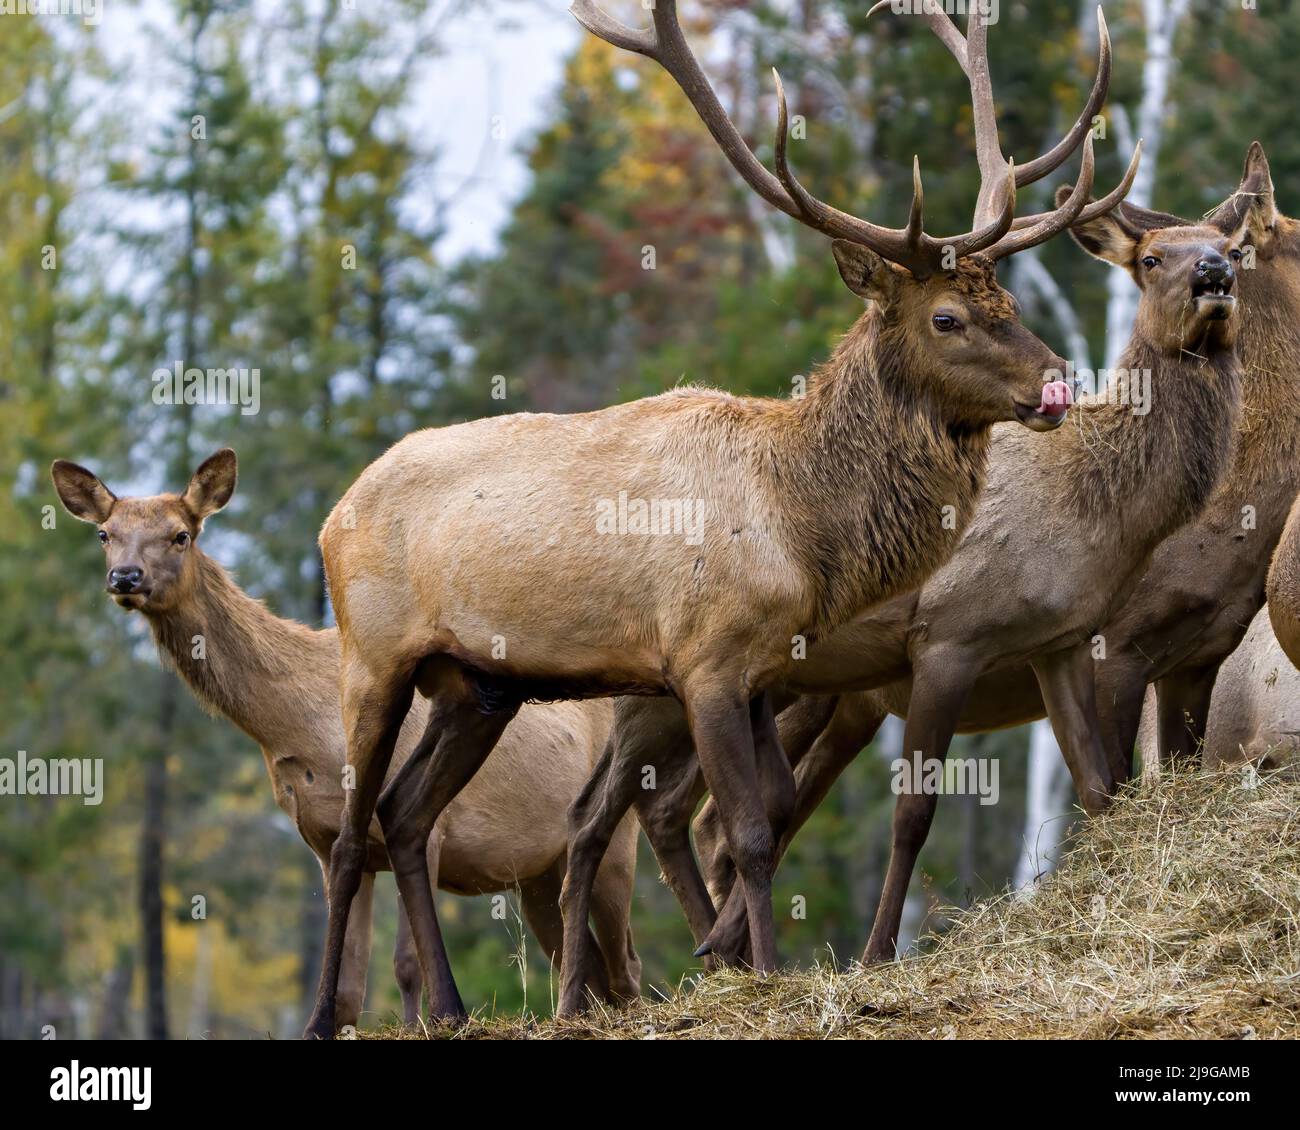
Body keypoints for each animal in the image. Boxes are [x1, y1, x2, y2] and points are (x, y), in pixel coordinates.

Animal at [49, 449, 641, 1033]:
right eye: (105, 533)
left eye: (180, 535)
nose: (126, 576)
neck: (297, 731)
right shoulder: (319, 840)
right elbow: (351, 991)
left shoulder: (436, 832)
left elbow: (404, 964)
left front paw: (429, 1019)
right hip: (536, 873)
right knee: (585, 960)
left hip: (620, 841)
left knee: (626, 960)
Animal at [300, 0, 1143, 1035]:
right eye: (947, 317)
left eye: (1010, 299)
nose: (1059, 382)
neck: (799, 523)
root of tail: (334, 513)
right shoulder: (702, 659)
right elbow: (744, 826)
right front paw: (766, 976)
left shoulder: (762, 667)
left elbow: (776, 808)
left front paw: (735, 956)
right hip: (374, 654)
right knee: (350, 834)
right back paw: (323, 1016)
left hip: (477, 684)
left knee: (408, 815)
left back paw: (454, 1010)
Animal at [562, 10, 1254, 974]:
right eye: (1152, 258)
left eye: (1235, 252)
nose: (1215, 280)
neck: (1098, 518)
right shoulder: (949, 636)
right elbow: (914, 811)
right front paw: (878, 952)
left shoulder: (1058, 639)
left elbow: (1098, 788)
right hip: (664, 680)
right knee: (609, 814)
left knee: (659, 811)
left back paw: (702, 957)